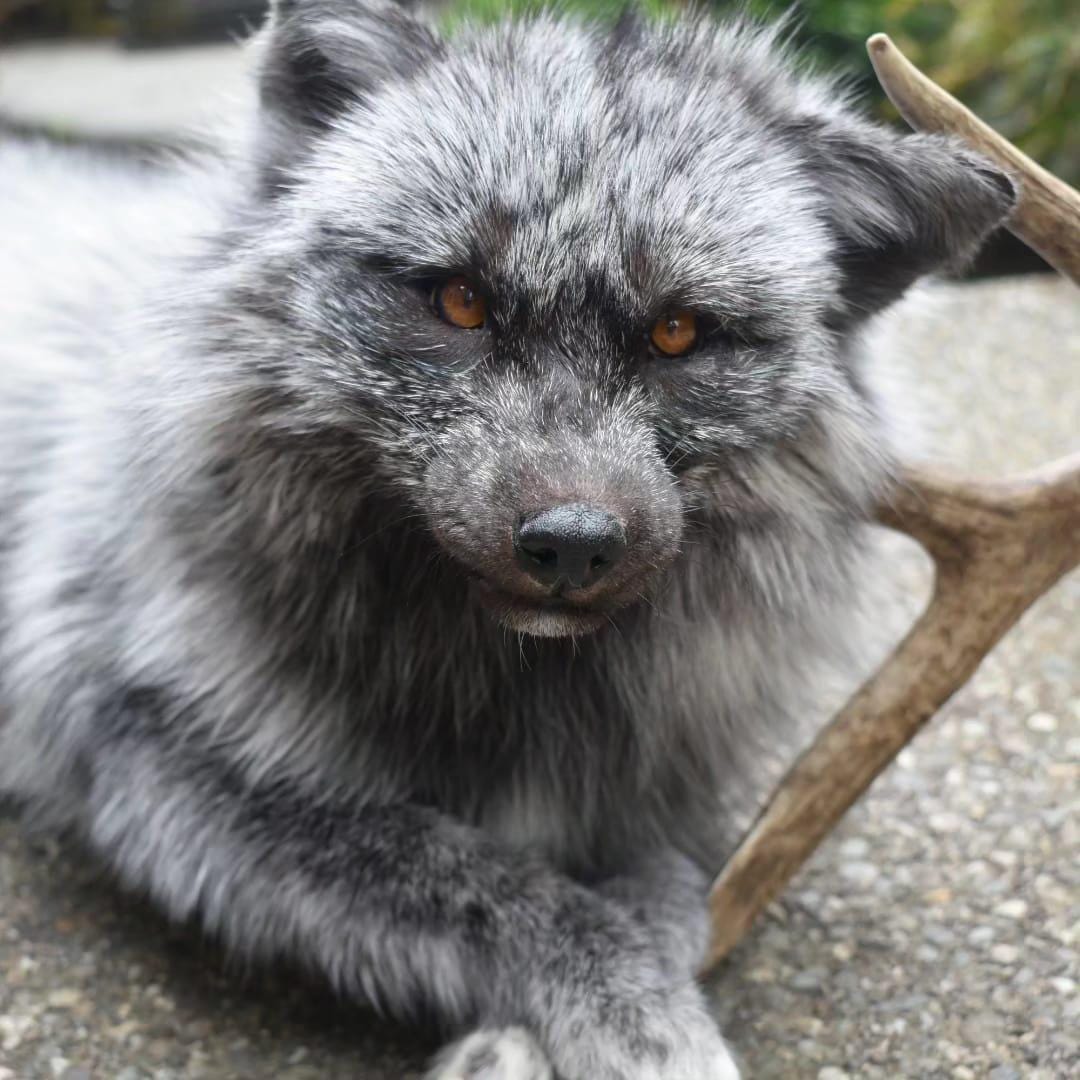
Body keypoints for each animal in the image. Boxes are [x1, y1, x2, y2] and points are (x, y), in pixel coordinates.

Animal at [0, 2, 1015, 1077]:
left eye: (680, 331)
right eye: (459, 300)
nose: (571, 545)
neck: (515, 697)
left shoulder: (665, 794)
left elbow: (667, 906)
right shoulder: (140, 745)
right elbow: (489, 883)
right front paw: (621, 1027)